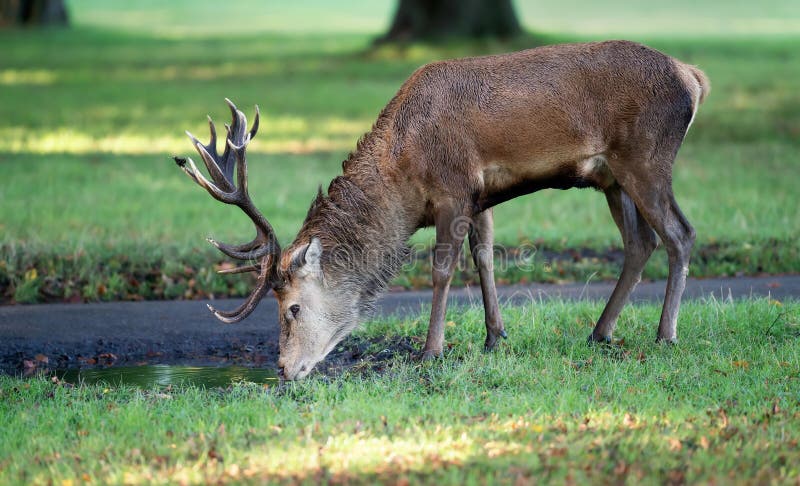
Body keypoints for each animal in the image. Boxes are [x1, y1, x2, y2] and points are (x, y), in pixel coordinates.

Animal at [174, 40, 709, 380]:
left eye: (292, 308)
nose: (284, 370)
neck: (403, 180)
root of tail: (694, 78)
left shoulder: (453, 188)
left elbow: (442, 269)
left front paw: (430, 351)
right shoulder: (480, 198)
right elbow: (485, 256)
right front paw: (495, 337)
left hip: (646, 157)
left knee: (680, 233)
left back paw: (665, 335)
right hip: (611, 178)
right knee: (640, 242)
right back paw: (599, 332)